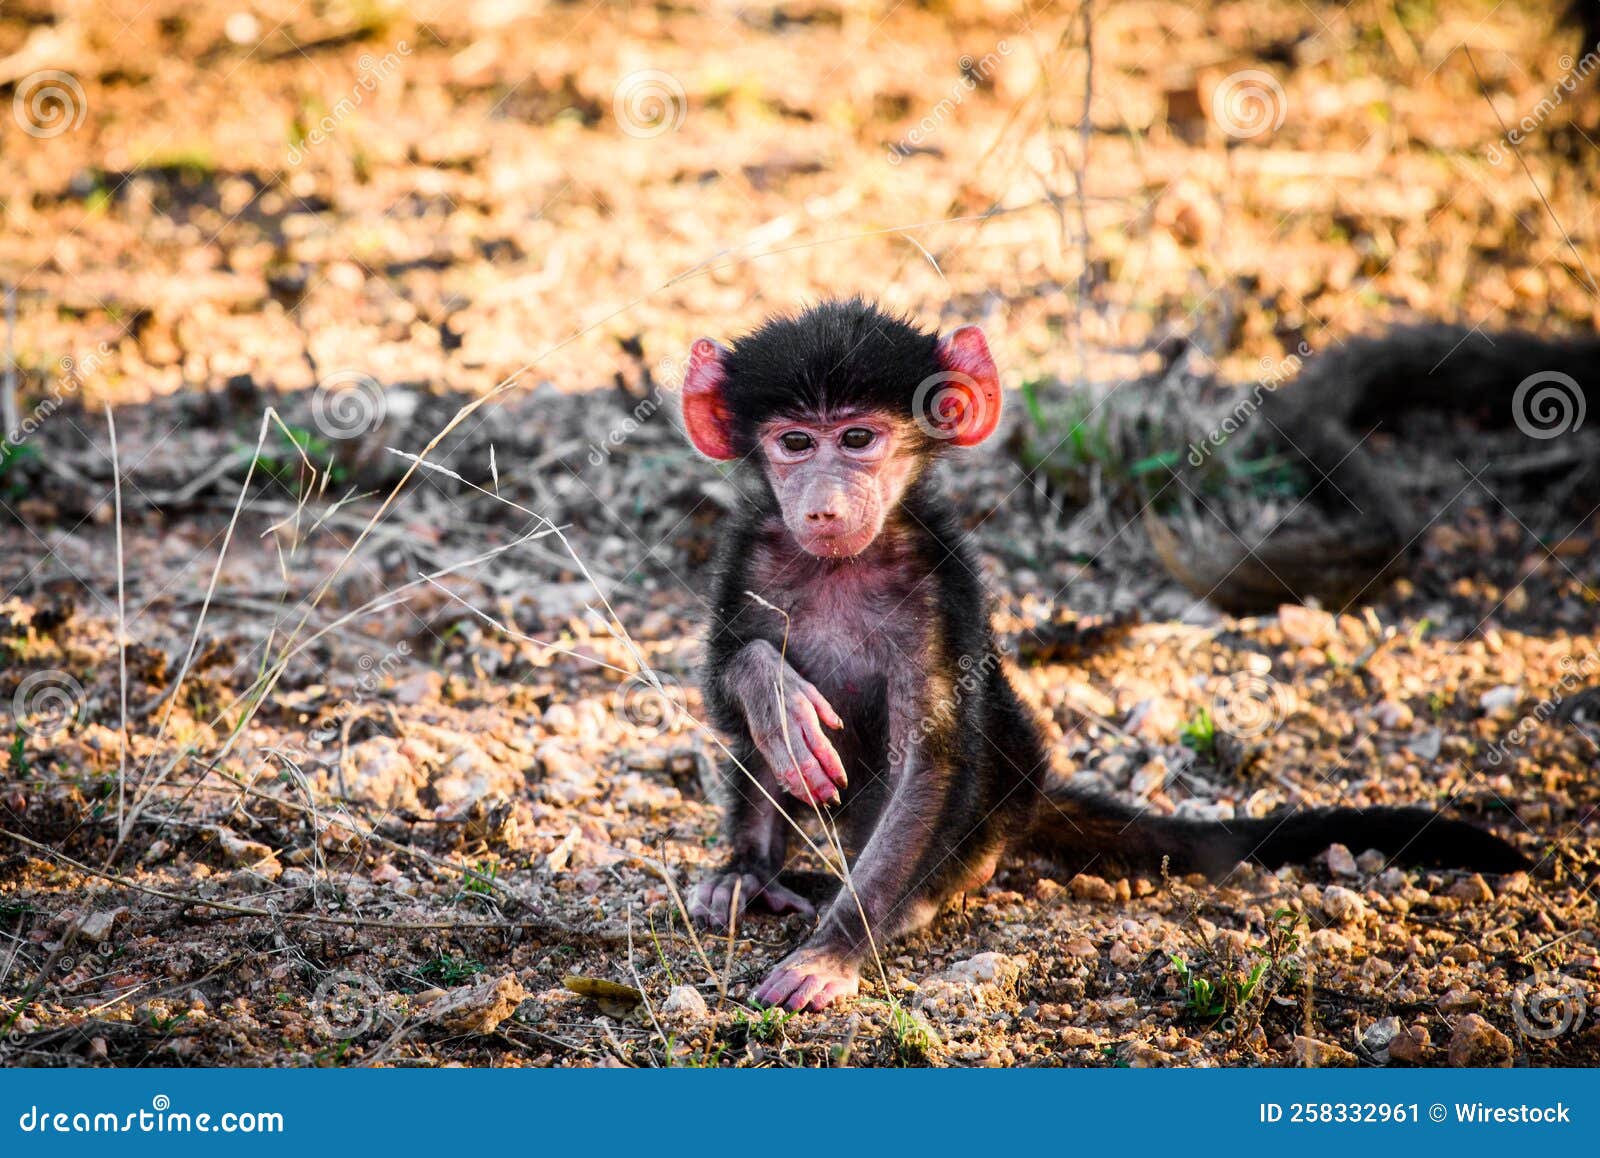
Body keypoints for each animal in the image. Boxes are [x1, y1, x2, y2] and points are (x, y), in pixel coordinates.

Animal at [678, 298, 1530, 1013]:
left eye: (858, 439)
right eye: (795, 443)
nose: (823, 507)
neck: (843, 564)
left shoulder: (938, 583)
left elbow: (931, 756)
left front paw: (834, 950)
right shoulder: (751, 551)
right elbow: (728, 677)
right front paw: (774, 697)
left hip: (999, 800)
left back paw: (921, 893)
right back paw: (748, 871)